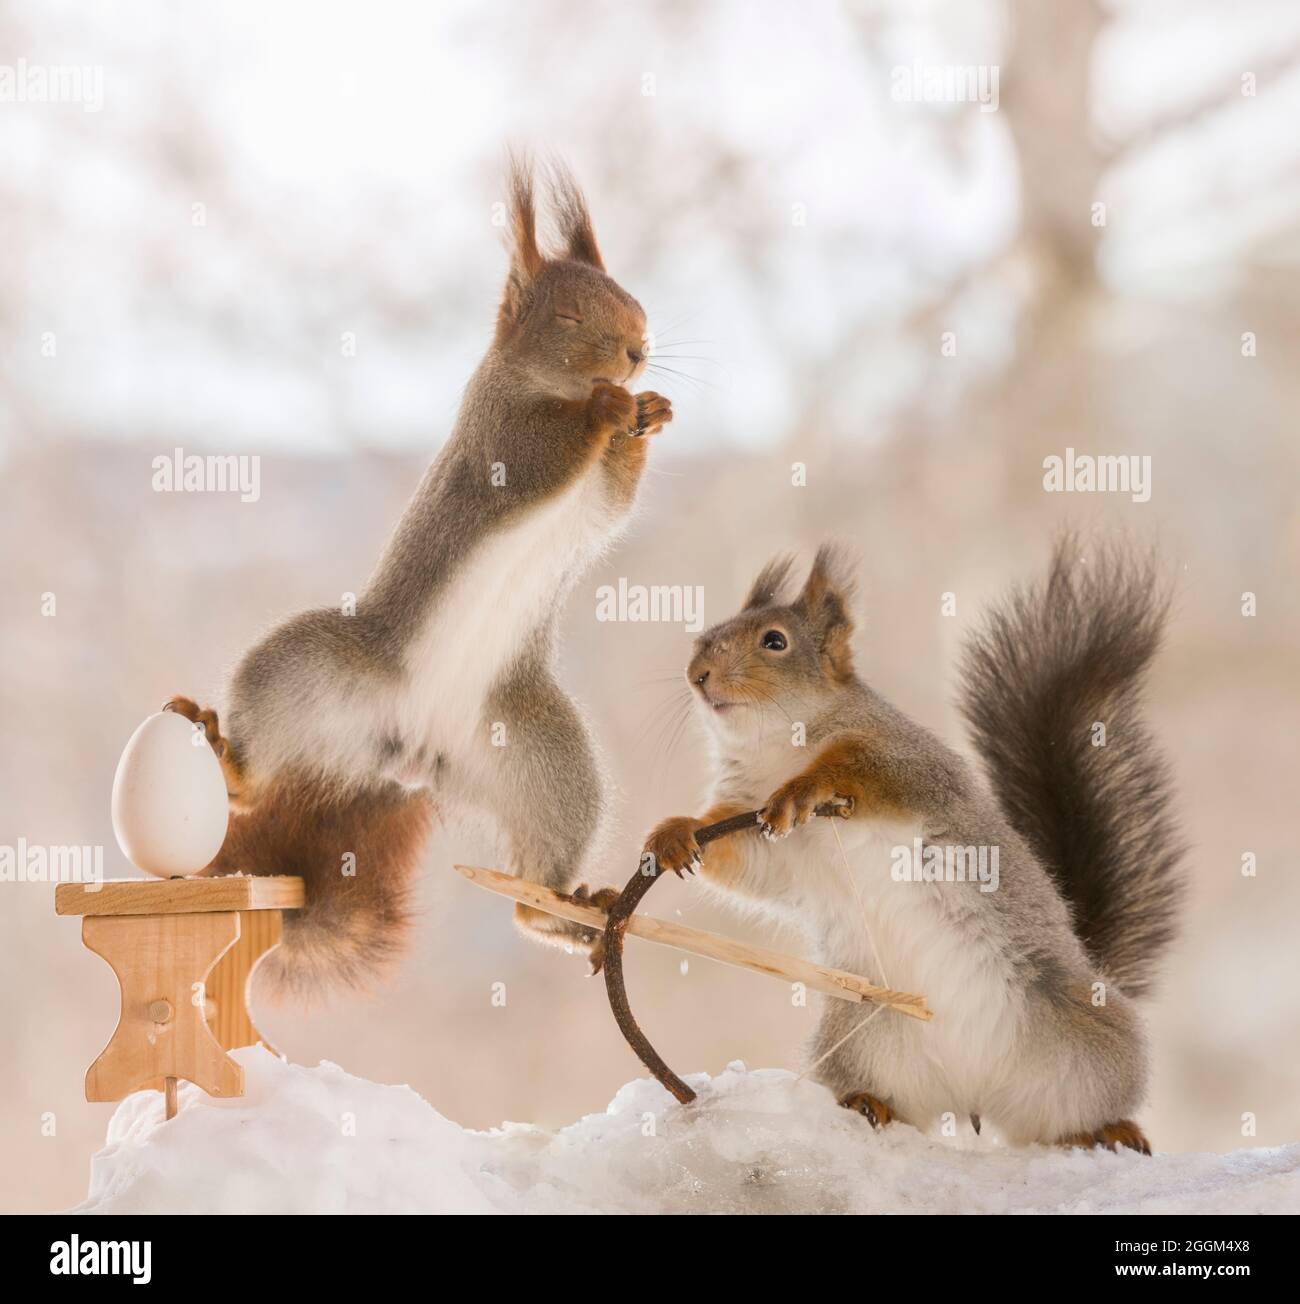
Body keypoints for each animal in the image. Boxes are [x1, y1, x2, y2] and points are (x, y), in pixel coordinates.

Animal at [166, 155, 670, 993]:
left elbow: (610, 500)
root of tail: (408, 759)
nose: (636, 350)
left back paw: (565, 912)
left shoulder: (595, 495)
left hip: (543, 760)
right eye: (567, 318)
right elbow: (539, 460)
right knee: (252, 781)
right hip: (305, 676)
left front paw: (649, 413)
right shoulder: (496, 434)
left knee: (528, 896)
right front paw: (610, 407)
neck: (549, 385)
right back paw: (231, 766)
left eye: (634, 304)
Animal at [643, 540, 1184, 1153]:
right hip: (864, 1035)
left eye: (774, 641)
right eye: (701, 639)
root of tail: (973, 1094)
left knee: (1078, 1110)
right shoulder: (763, 837)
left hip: (1089, 1038)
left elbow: (862, 770)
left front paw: (807, 786)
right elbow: (743, 862)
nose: (698, 675)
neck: (775, 750)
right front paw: (676, 832)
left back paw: (1108, 1128)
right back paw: (869, 1103)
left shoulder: (912, 764)